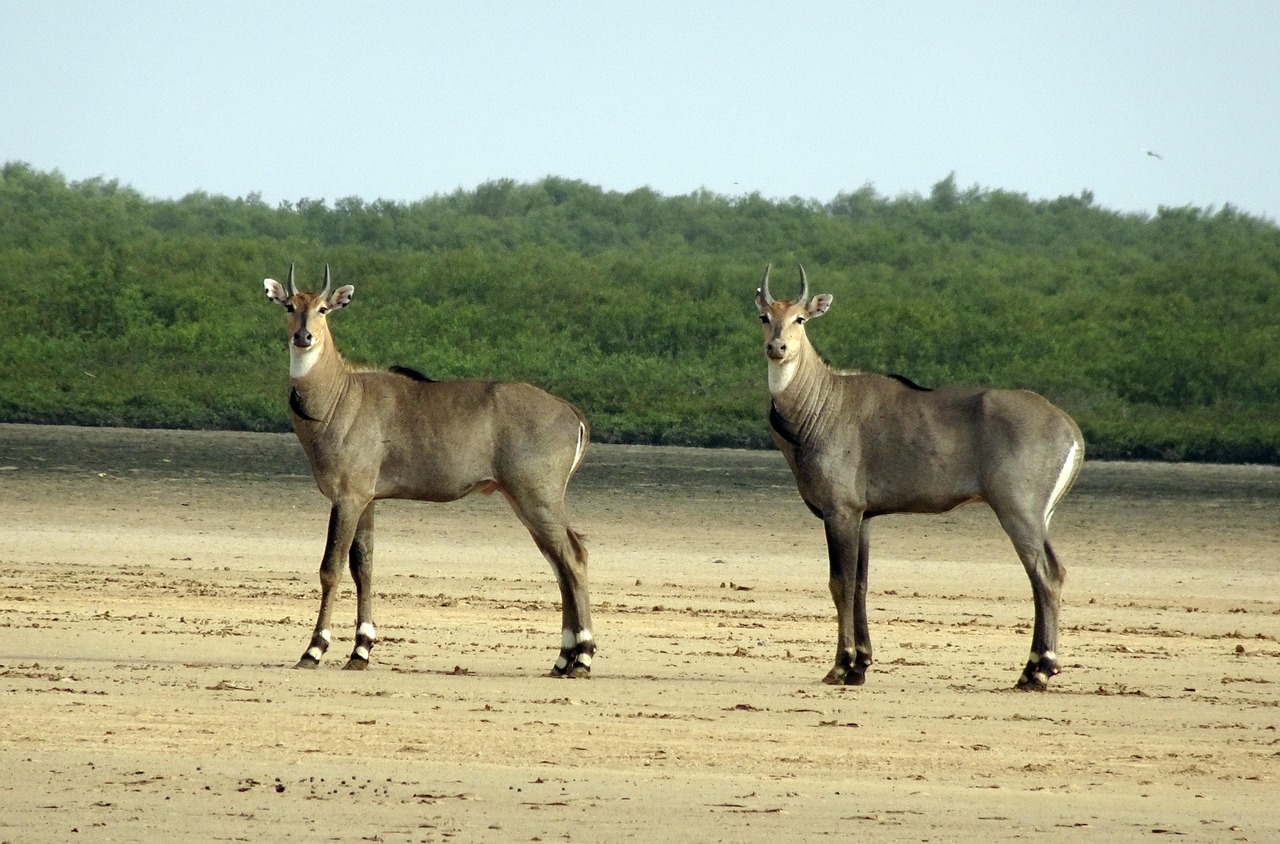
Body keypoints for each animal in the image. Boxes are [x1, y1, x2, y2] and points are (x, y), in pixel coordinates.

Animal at [263, 264, 595, 677]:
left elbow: (331, 568)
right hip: (527, 502)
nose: (303, 336)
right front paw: (361, 651)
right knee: (560, 562)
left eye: (323, 309)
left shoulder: (347, 497)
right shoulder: (367, 499)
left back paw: (582, 657)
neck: (340, 396)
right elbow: (364, 567)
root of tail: (572, 412)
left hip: (538, 497)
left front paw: (313, 650)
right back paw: (564, 658)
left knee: (572, 558)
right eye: (290, 306)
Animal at [755, 264, 1084, 689]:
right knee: (1050, 573)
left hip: (1018, 512)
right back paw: (1035, 669)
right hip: (1041, 517)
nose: (777, 348)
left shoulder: (839, 511)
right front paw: (861, 665)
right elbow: (860, 584)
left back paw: (1038, 670)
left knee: (1044, 575)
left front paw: (840, 666)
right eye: (764, 316)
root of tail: (1070, 429)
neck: (821, 404)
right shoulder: (864, 517)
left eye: (800, 318)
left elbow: (839, 583)